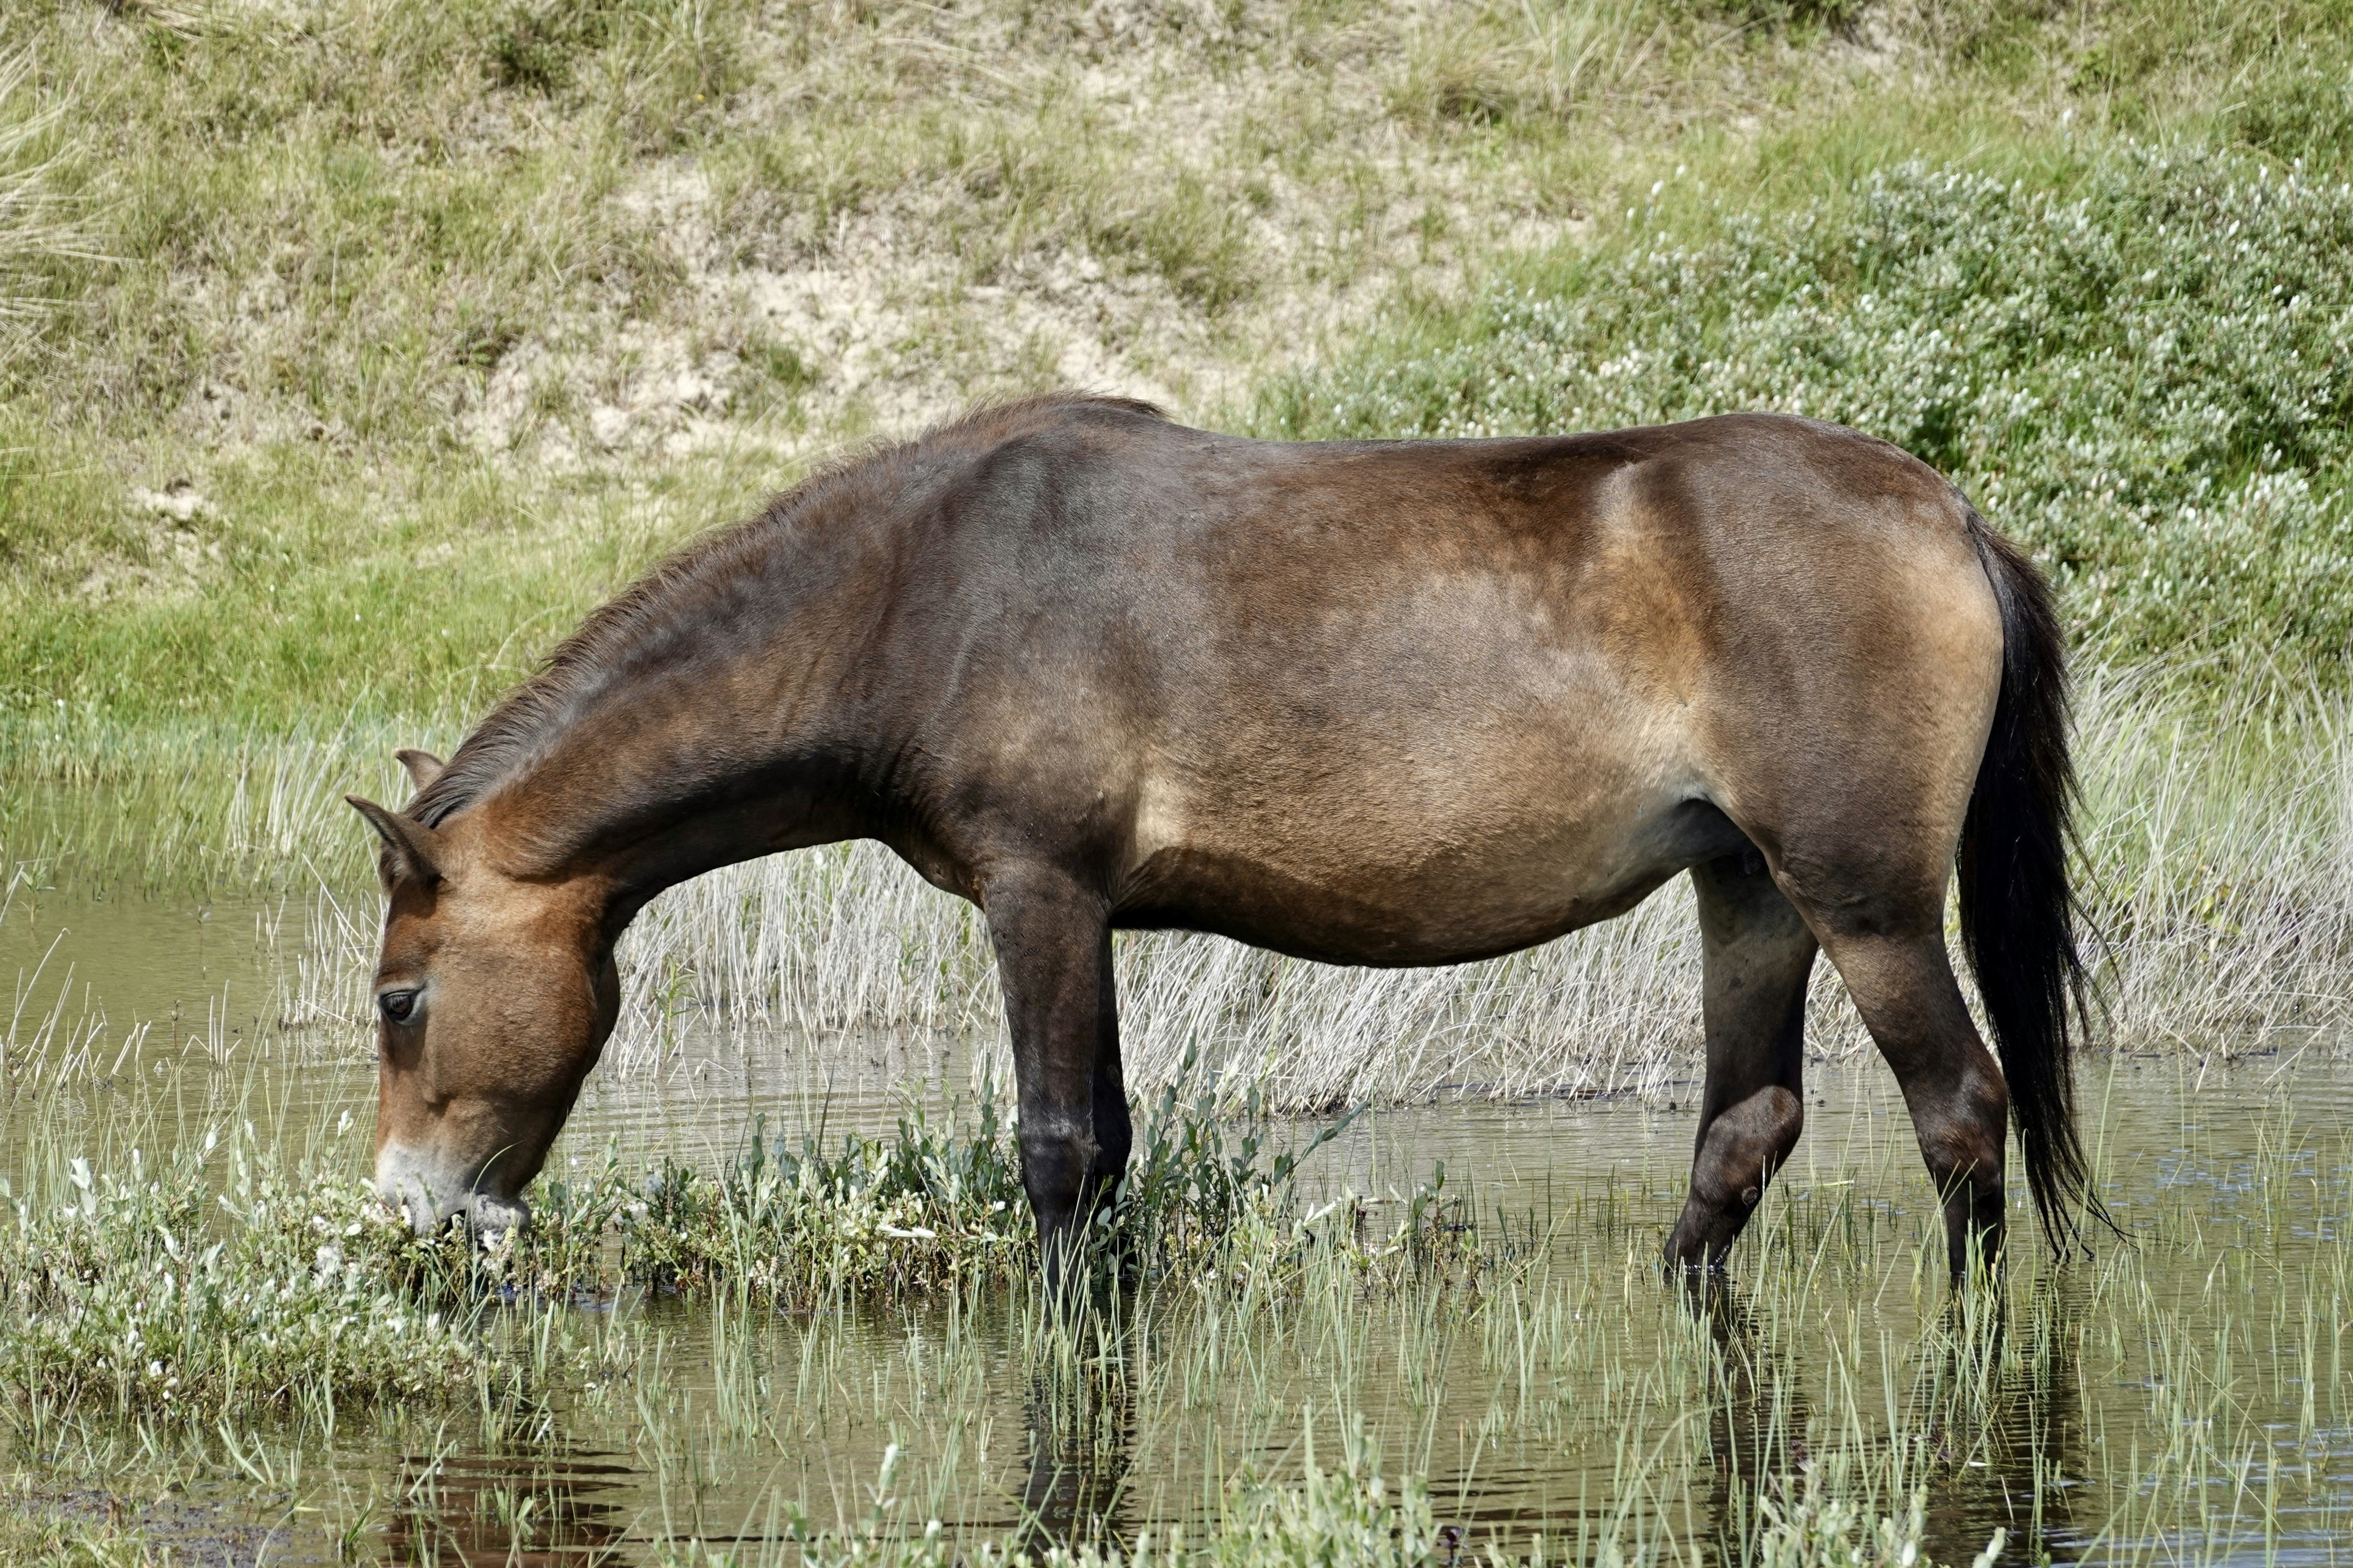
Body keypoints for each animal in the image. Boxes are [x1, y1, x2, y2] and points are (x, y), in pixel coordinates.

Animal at [348, 394, 2092, 1287]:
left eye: (397, 1000)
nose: (408, 1210)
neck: (923, 591)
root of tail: (1945, 512)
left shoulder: (1039, 896)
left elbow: (1057, 1155)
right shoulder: (1090, 919)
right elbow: (1110, 1148)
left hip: (1866, 907)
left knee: (1959, 1117)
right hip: (1750, 893)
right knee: (1742, 1137)